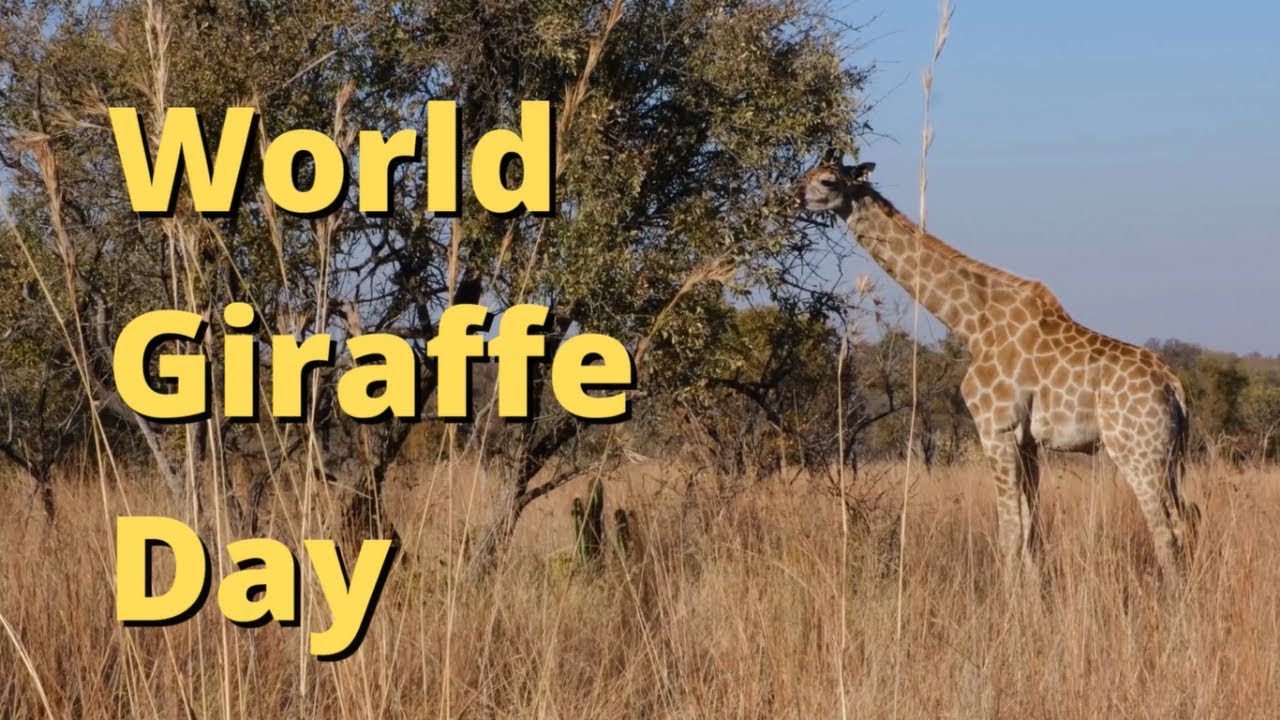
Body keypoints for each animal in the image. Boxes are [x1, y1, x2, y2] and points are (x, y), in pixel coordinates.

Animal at [795, 150, 1200, 590]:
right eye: (806, 173)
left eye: (829, 181)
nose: (794, 197)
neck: (972, 323)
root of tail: (1175, 387)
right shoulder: (1027, 441)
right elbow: (1030, 532)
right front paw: (1034, 600)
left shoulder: (995, 428)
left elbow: (1009, 534)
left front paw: (1009, 605)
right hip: (1170, 453)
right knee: (1189, 518)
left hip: (1137, 450)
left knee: (1166, 528)